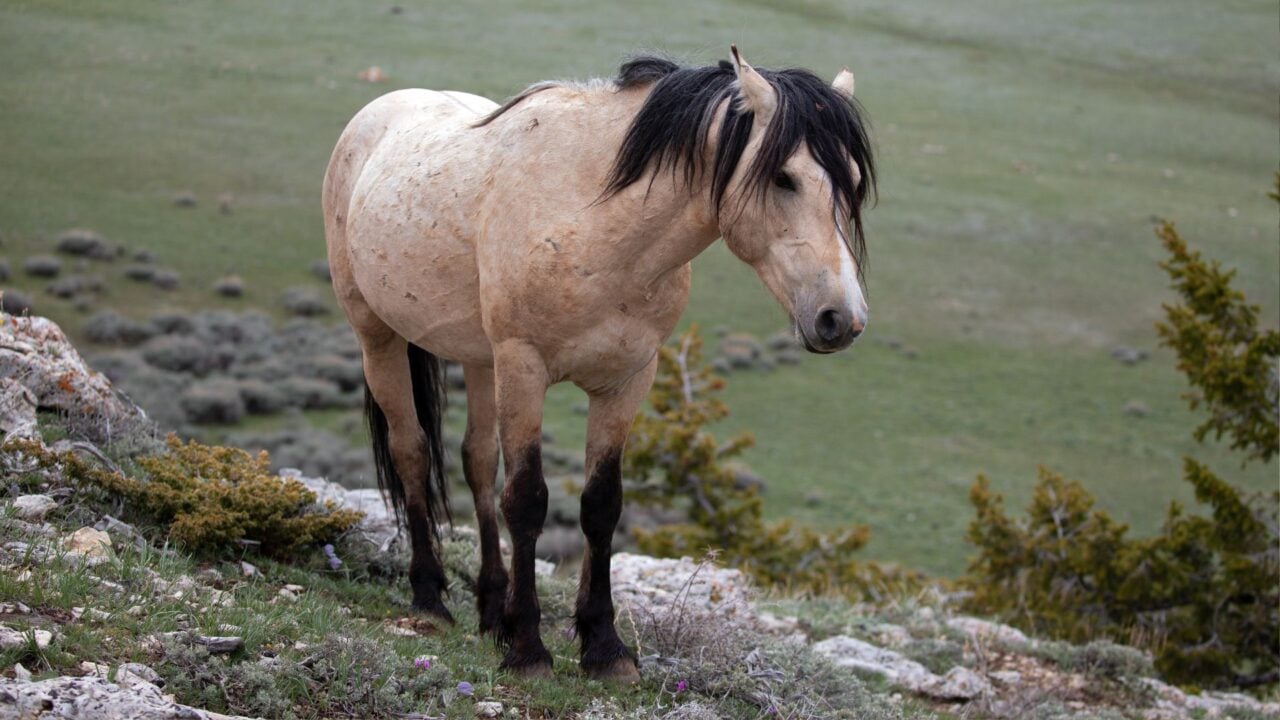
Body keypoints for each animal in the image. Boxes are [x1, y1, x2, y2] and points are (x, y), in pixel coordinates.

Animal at [322, 46, 876, 681]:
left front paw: (603, 646)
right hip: (379, 337)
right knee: (412, 451)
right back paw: (430, 599)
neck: (593, 222)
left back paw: (490, 610)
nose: (841, 319)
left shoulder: (627, 379)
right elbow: (528, 500)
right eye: (784, 177)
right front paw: (529, 648)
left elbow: (600, 505)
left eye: (853, 181)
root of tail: (377, 111)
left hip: (481, 361)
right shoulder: (525, 367)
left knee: (477, 462)